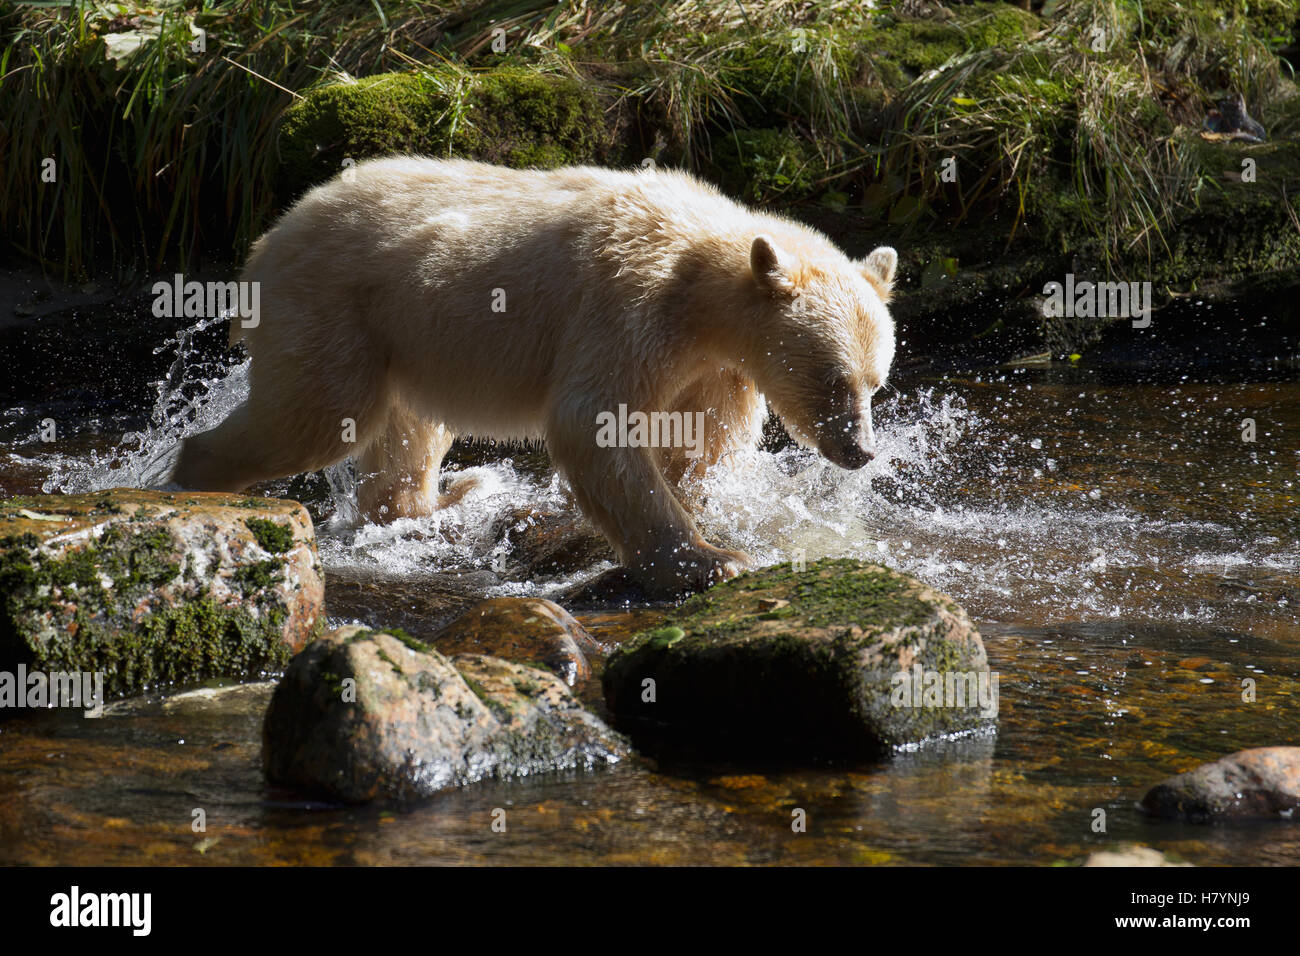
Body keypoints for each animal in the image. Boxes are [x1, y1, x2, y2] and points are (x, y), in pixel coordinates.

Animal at [171, 157, 898, 596]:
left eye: (876, 383)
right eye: (832, 379)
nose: (860, 450)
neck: (701, 280)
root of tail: (269, 239)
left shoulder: (716, 365)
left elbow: (702, 438)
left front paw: (706, 519)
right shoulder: (630, 307)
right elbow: (593, 423)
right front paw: (707, 560)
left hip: (402, 336)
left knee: (407, 430)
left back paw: (440, 500)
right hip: (336, 309)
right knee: (318, 415)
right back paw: (198, 478)